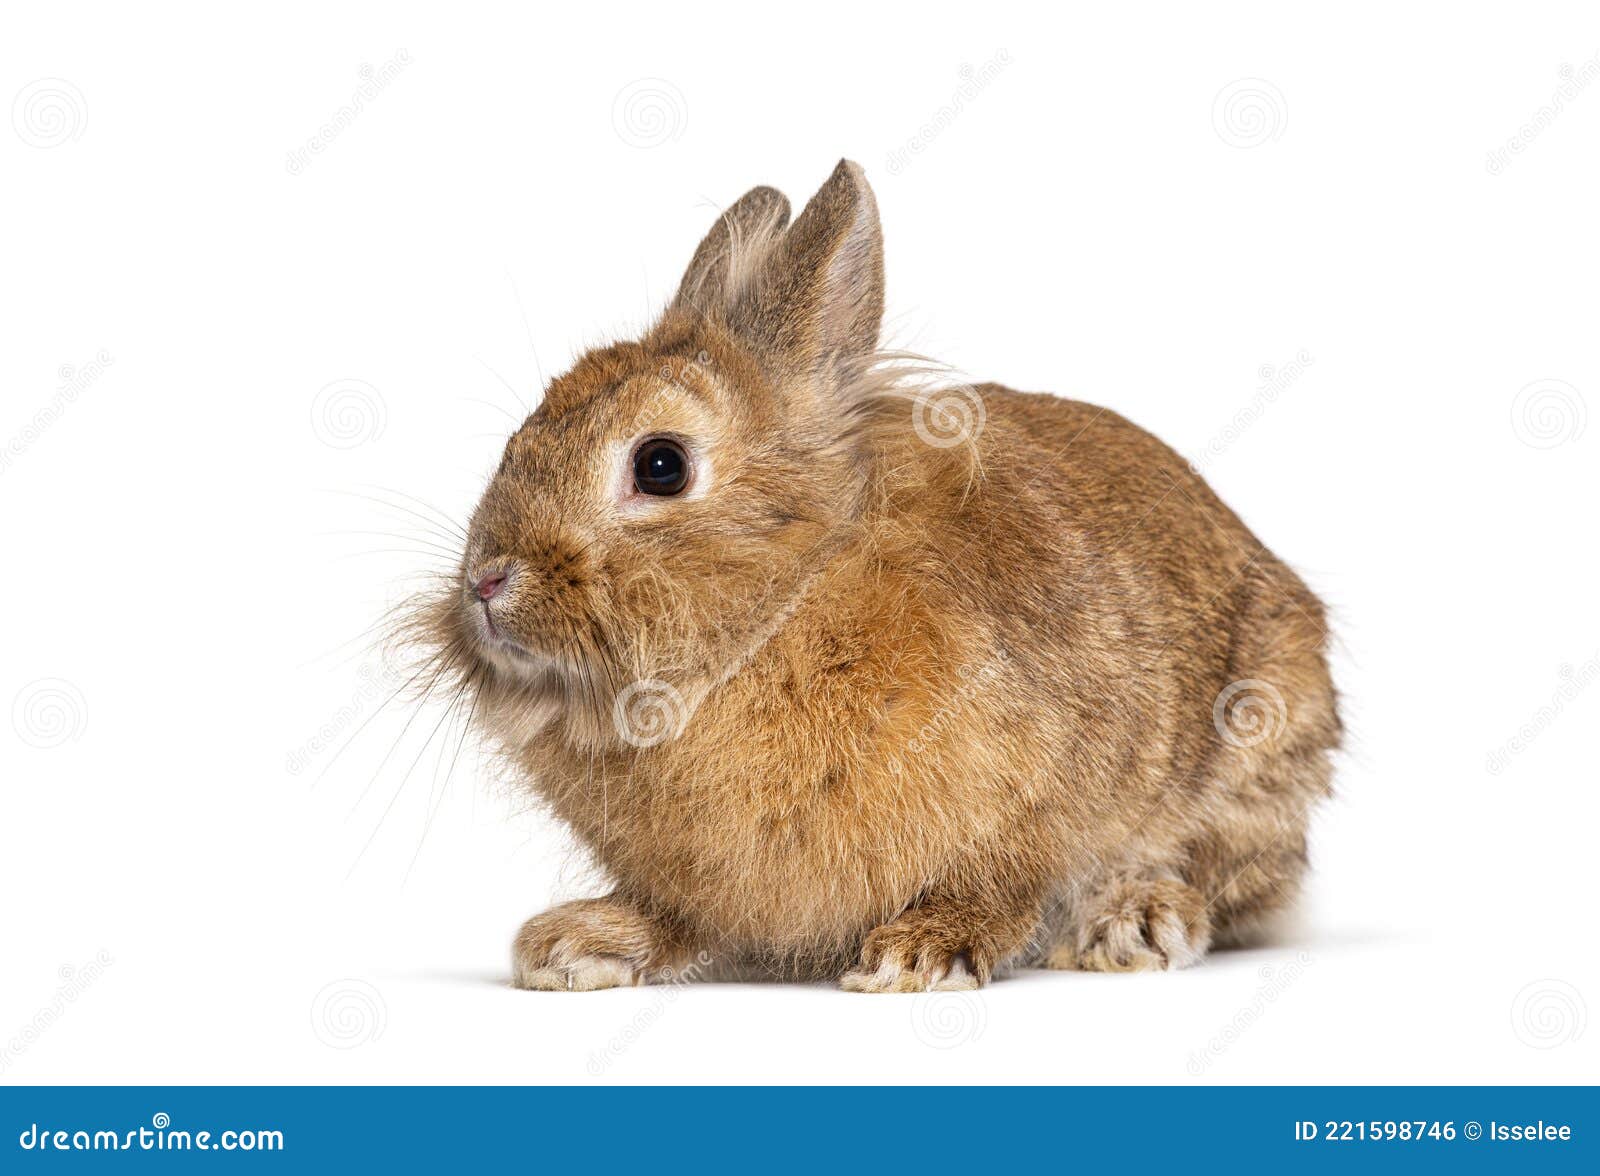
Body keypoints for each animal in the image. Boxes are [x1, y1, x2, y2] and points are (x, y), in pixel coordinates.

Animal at [405, 159, 1340, 992]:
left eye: (660, 465)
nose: (487, 581)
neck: (781, 614)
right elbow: (682, 919)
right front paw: (582, 945)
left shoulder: (1032, 797)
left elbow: (1005, 881)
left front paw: (918, 955)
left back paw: (1134, 923)